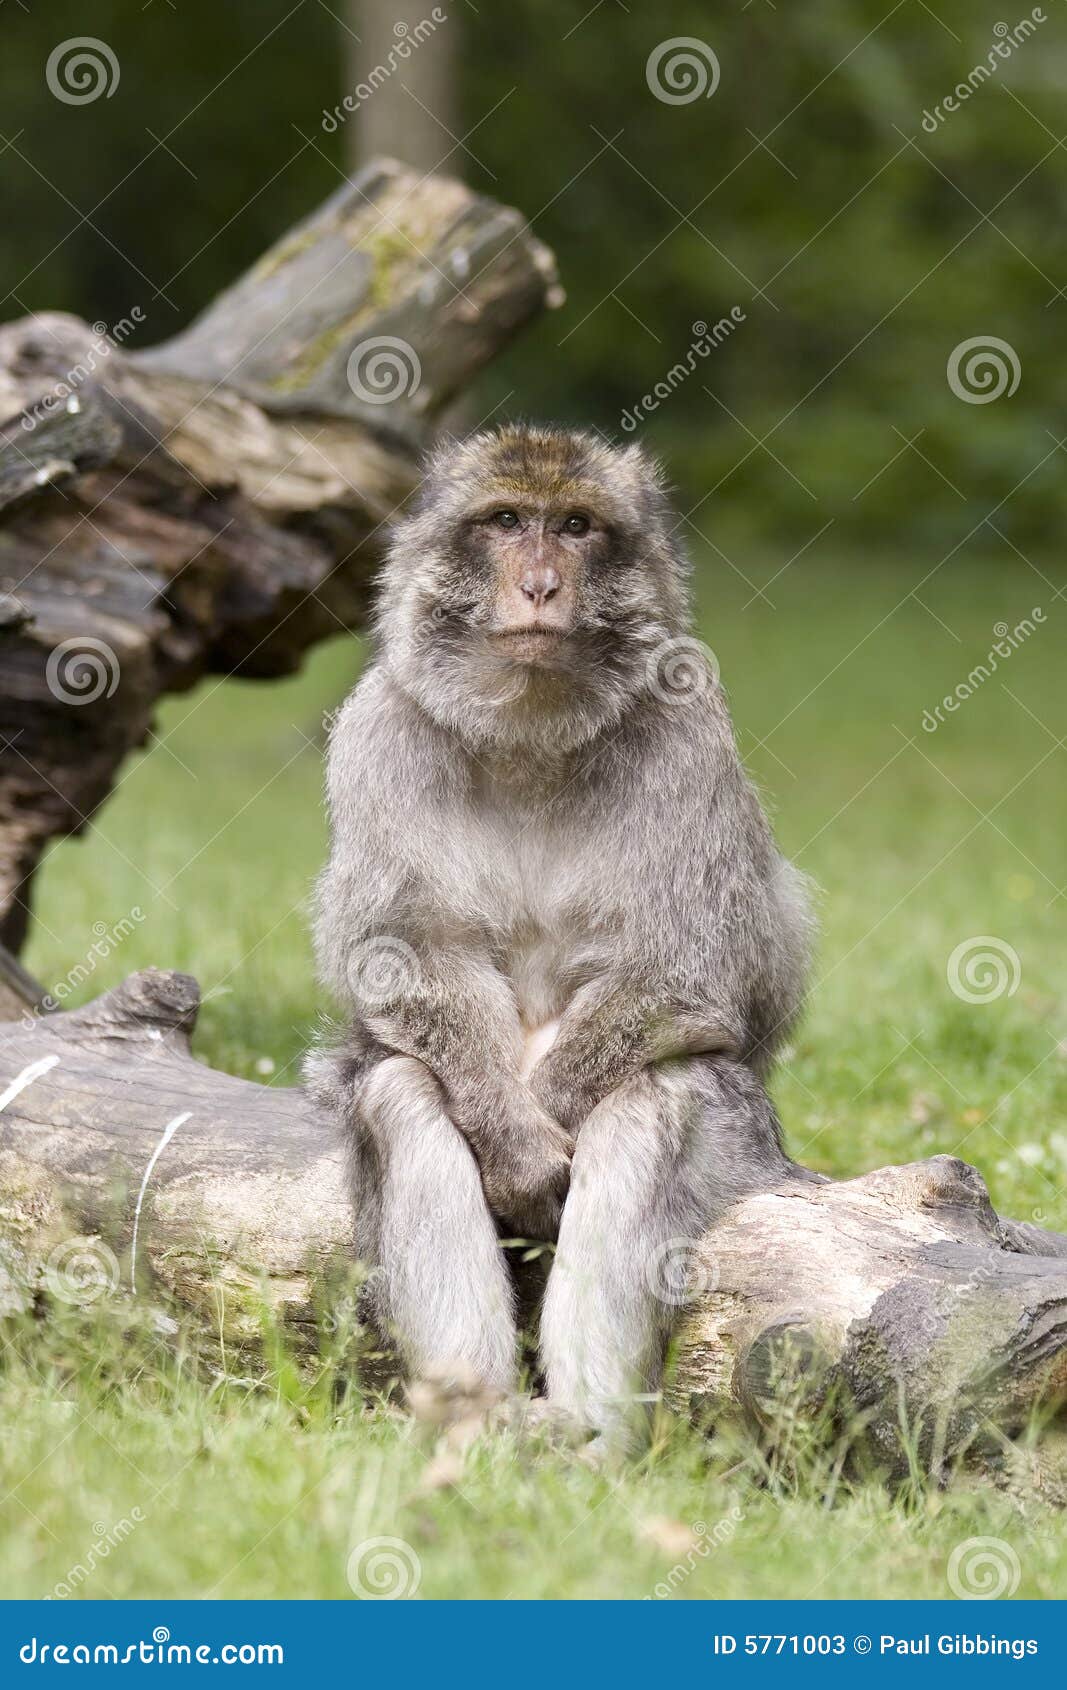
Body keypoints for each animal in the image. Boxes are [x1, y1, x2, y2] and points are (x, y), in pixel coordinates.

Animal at [306, 423, 815, 1439]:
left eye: (575, 527)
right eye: (507, 522)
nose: (541, 584)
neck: (532, 736)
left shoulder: (690, 730)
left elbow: (680, 973)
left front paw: (549, 1133)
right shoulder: (379, 731)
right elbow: (404, 957)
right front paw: (514, 1144)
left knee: (653, 1099)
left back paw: (592, 1436)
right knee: (399, 1089)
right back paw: (471, 1414)